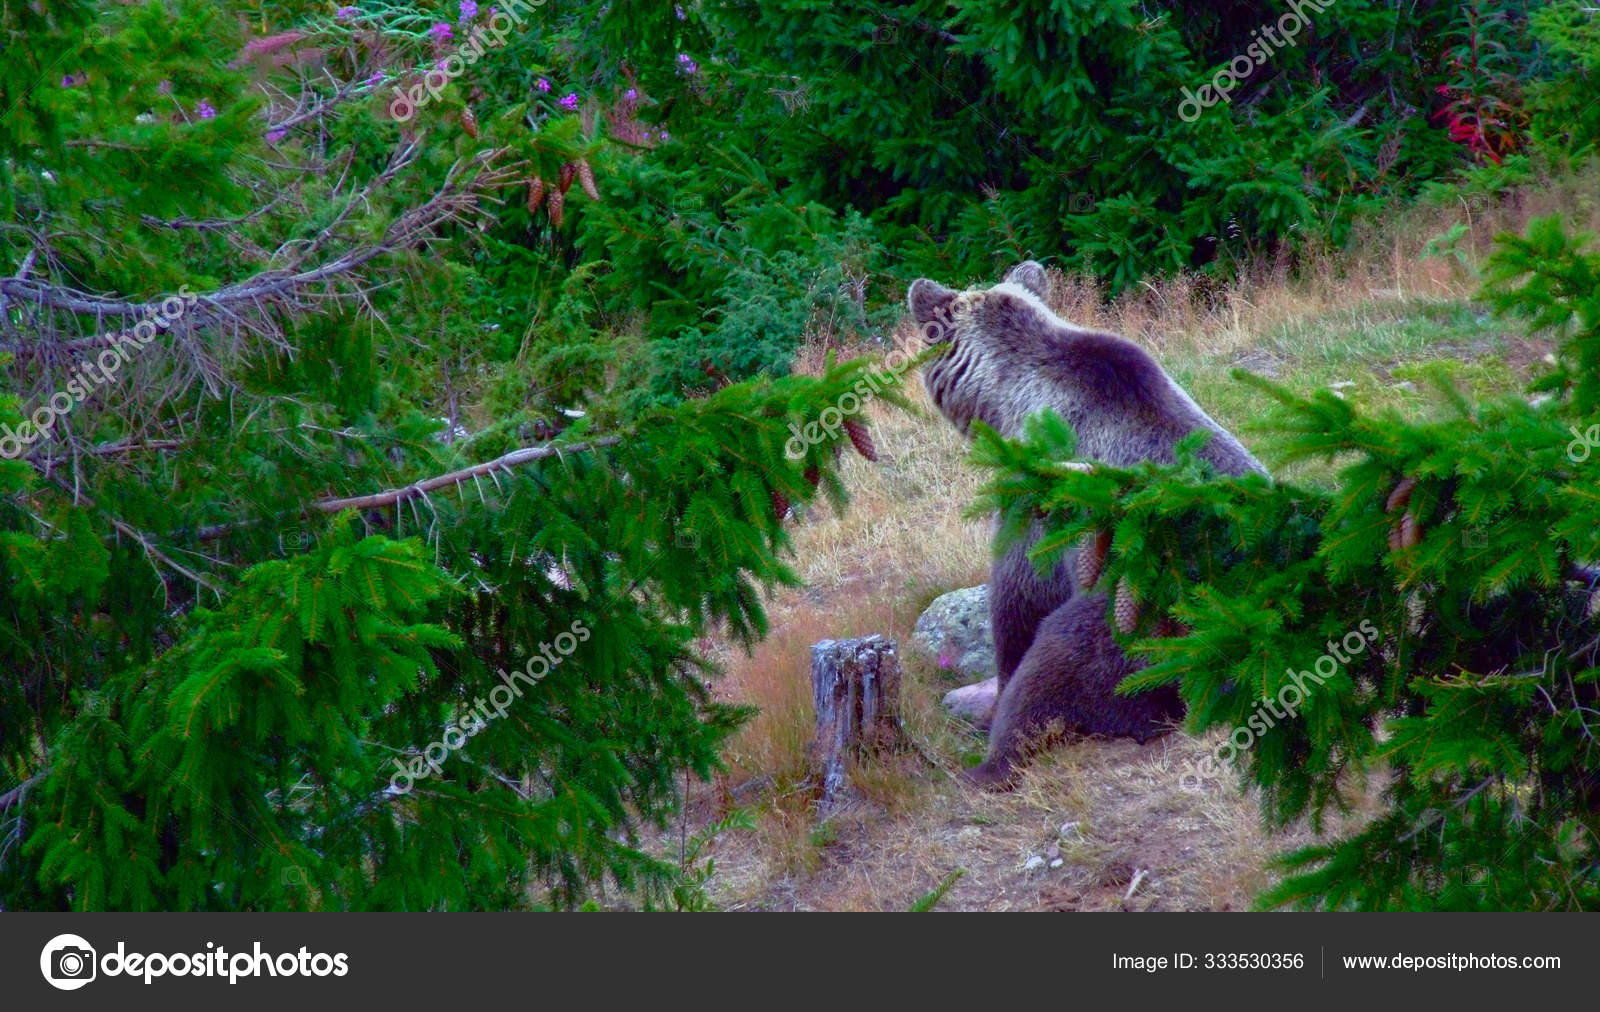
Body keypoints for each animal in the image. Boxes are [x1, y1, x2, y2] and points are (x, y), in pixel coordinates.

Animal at [907, 260, 1267, 787]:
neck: (1006, 396)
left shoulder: (1038, 494)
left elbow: (1019, 597)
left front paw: (994, 699)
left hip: (1140, 620)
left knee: (1057, 660)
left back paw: (985, 761)